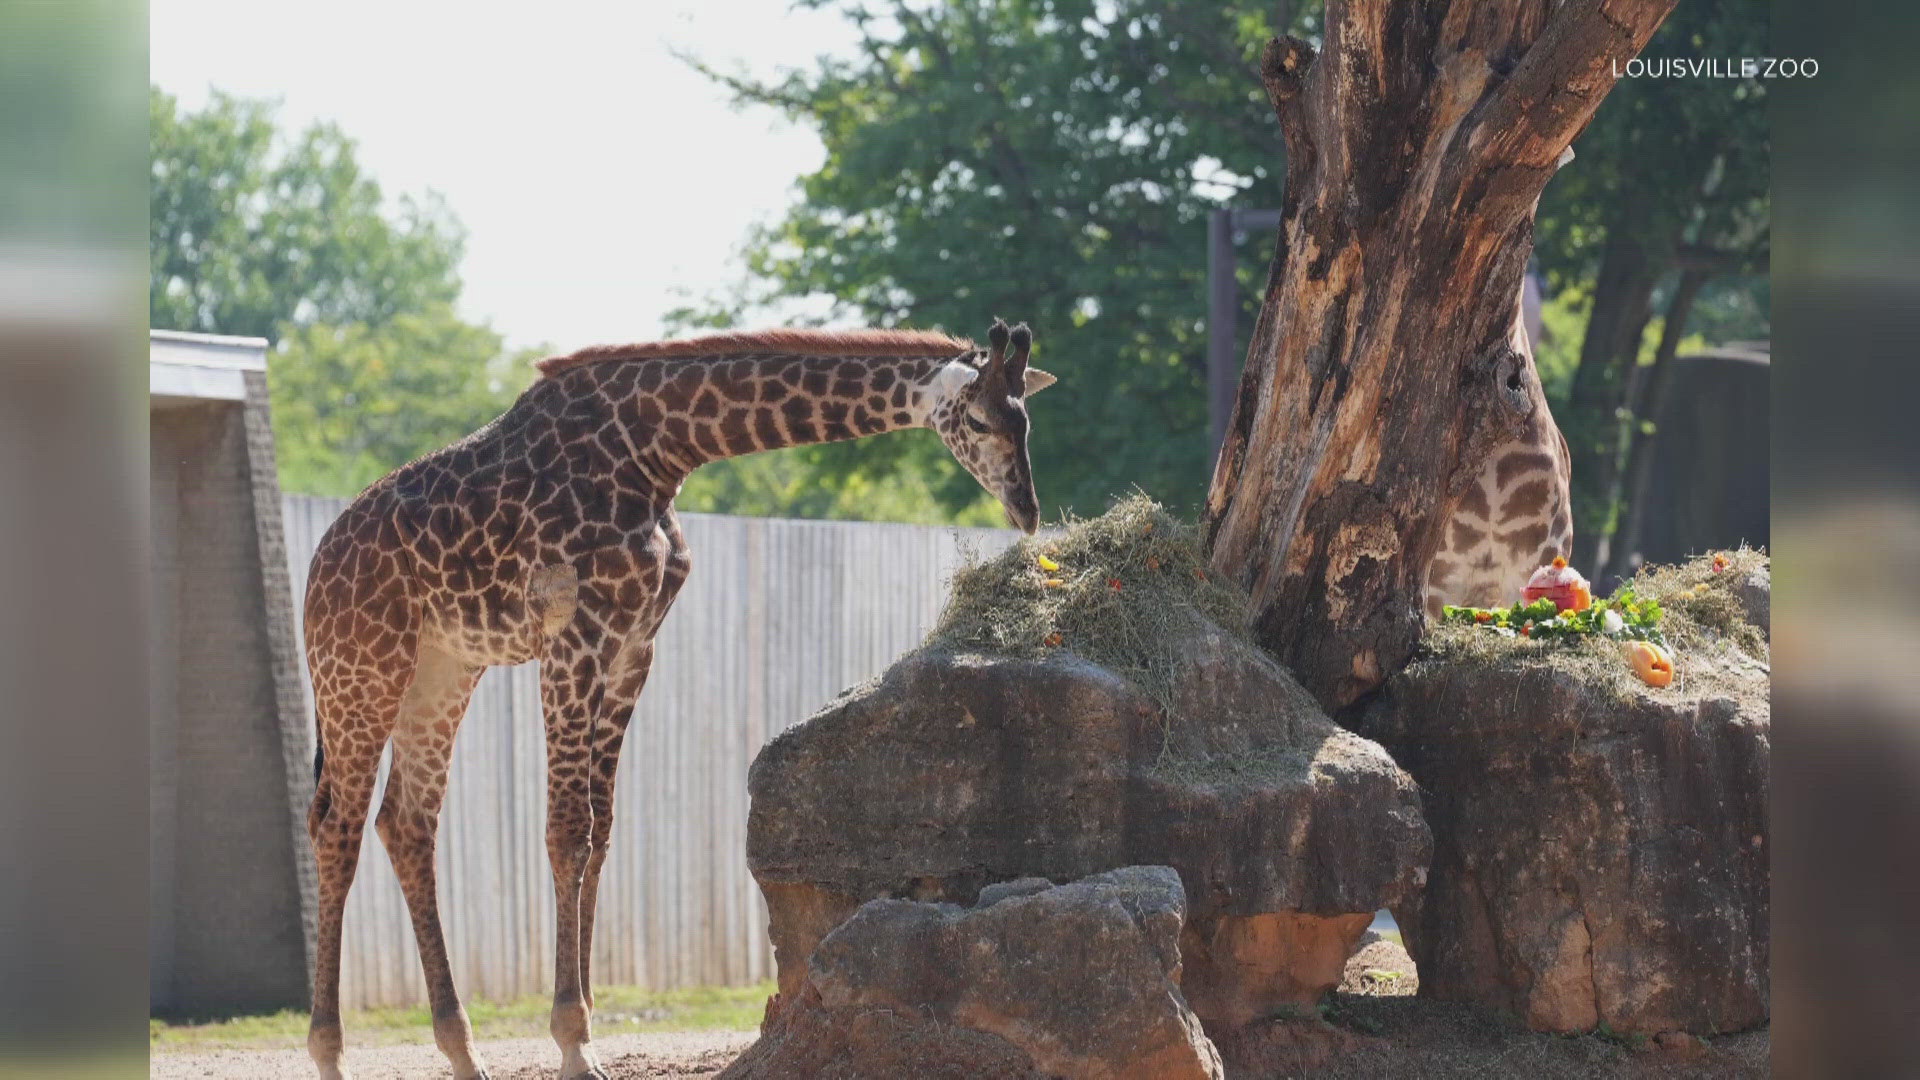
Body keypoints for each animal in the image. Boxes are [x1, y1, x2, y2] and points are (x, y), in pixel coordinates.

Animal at [301, 320, 1054, 1080]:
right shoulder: (574, 637)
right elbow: (566, 830)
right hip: (362, 671)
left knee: (405, 823)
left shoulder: (634, 648)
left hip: (442, 669)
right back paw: (329, 1052)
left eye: (1028, 421)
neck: (658, 450)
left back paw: (462, 1051)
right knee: (338, 827)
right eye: (980, 419)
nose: (1027, 511)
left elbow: (601, 832)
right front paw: (573, 1042)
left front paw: (586, 1028)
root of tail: (316, 567)